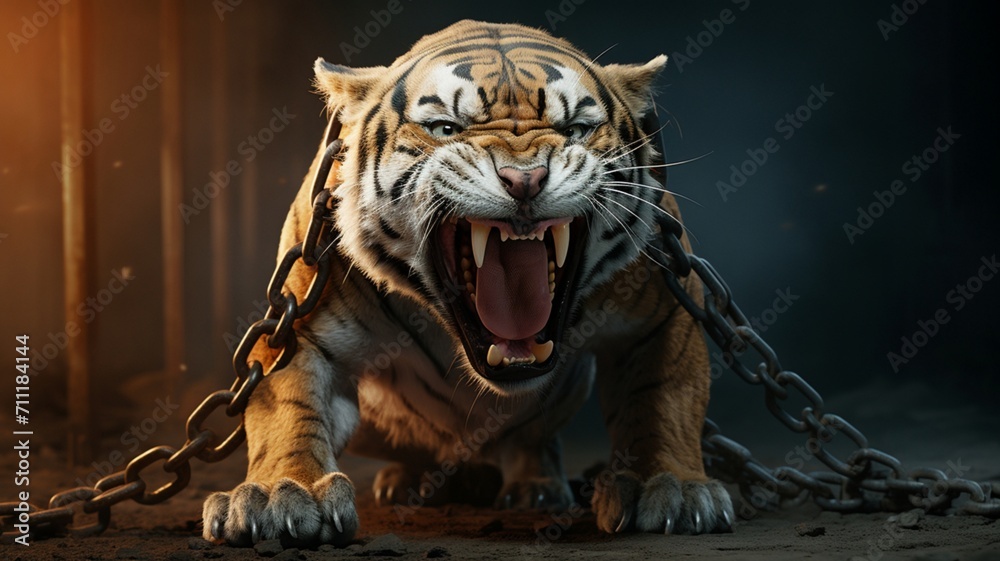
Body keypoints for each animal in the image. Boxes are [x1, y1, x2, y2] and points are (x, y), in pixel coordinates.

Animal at [202, 19, 733, 546]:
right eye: (445, 129)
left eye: (575, 131)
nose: (525, 178)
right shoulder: (294, 324)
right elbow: (289, 405)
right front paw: (283, 492)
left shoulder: (667, 304)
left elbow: (662, 398)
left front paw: (669, 484)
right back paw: (409, 482)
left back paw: (536, 488)